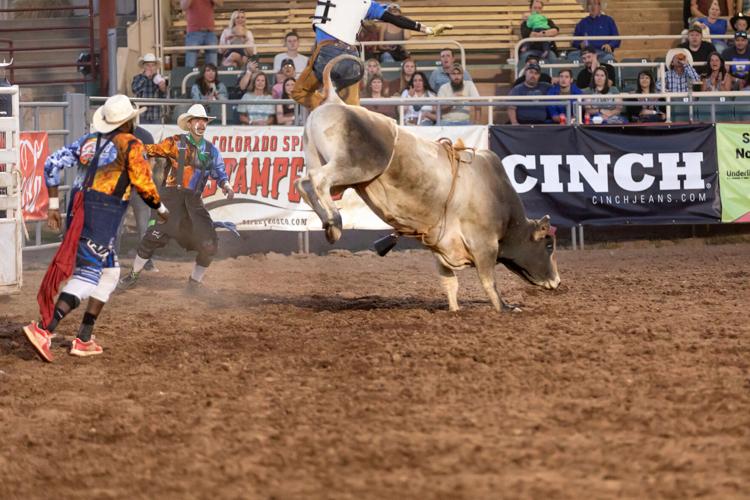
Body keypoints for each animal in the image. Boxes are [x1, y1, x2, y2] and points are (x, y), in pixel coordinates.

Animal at [296, 55, 561, 312]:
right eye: (548, 246)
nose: (557, 282)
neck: (498, 198)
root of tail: (335, 102)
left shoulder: (441, 246)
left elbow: (449, 282)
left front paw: (455, 310)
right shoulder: (484, 244)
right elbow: (488, 281)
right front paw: (505, 307)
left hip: (327, 164)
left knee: (304, 183)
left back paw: (330, 225)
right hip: (354, 166)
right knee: (318, 180)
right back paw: (335, 221)